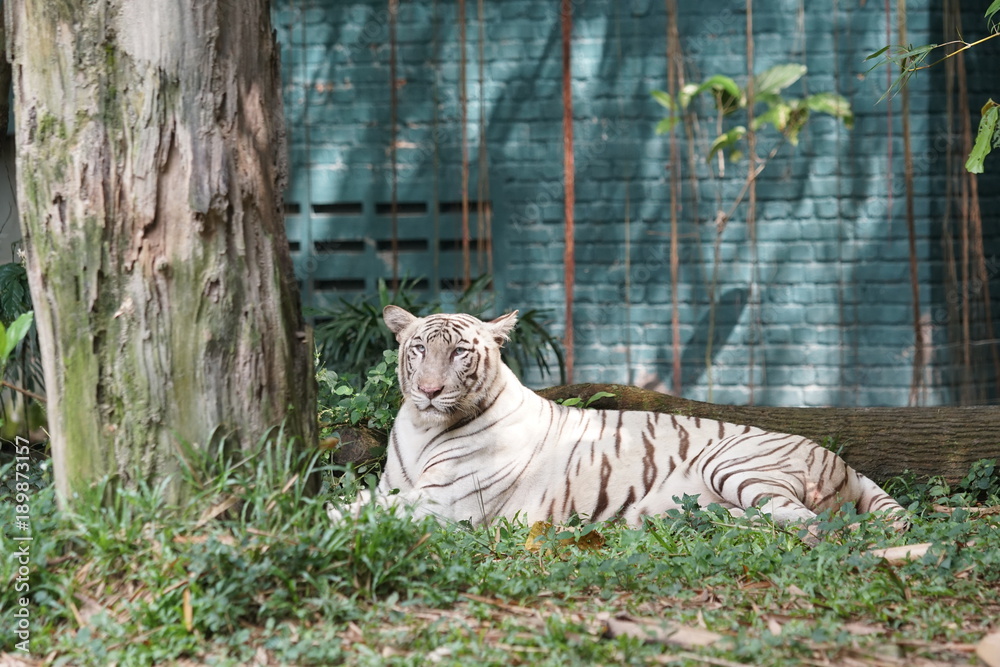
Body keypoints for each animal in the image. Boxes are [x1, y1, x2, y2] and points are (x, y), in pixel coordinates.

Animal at [326, 305, 907, 538]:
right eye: (419, 349)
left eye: (460, 354)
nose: (428, 391)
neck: (423, 430)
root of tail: (843, 463)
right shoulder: (396, 488)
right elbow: (357, 501)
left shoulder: (446, 505)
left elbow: (358, 513)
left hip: (734, 465)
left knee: (804, 521)